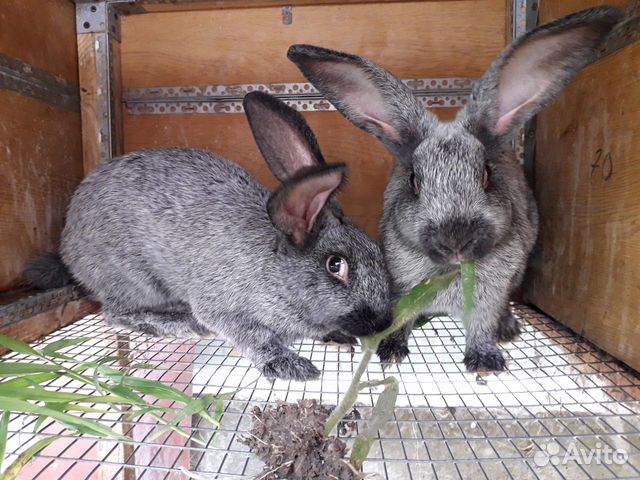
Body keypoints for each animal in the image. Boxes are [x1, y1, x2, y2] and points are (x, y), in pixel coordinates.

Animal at [24, 91, 393, 381]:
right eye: (336, 265)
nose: (382, 323)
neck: (275, 270)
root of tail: (67, 246)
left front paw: (338, 339)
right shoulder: (224, 308)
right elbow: (254, 337)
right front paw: (290, 366)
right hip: (134, 278)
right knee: (115, 313)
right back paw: (181, 324)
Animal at [286, 6, 623, 371]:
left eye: (487, 174)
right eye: (414, 181)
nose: (456, 241)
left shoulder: (492, 292)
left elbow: (482, 325)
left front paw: (486, 362)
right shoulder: (400, 286)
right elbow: (401, 320)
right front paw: (391, 353)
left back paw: (508, 329)